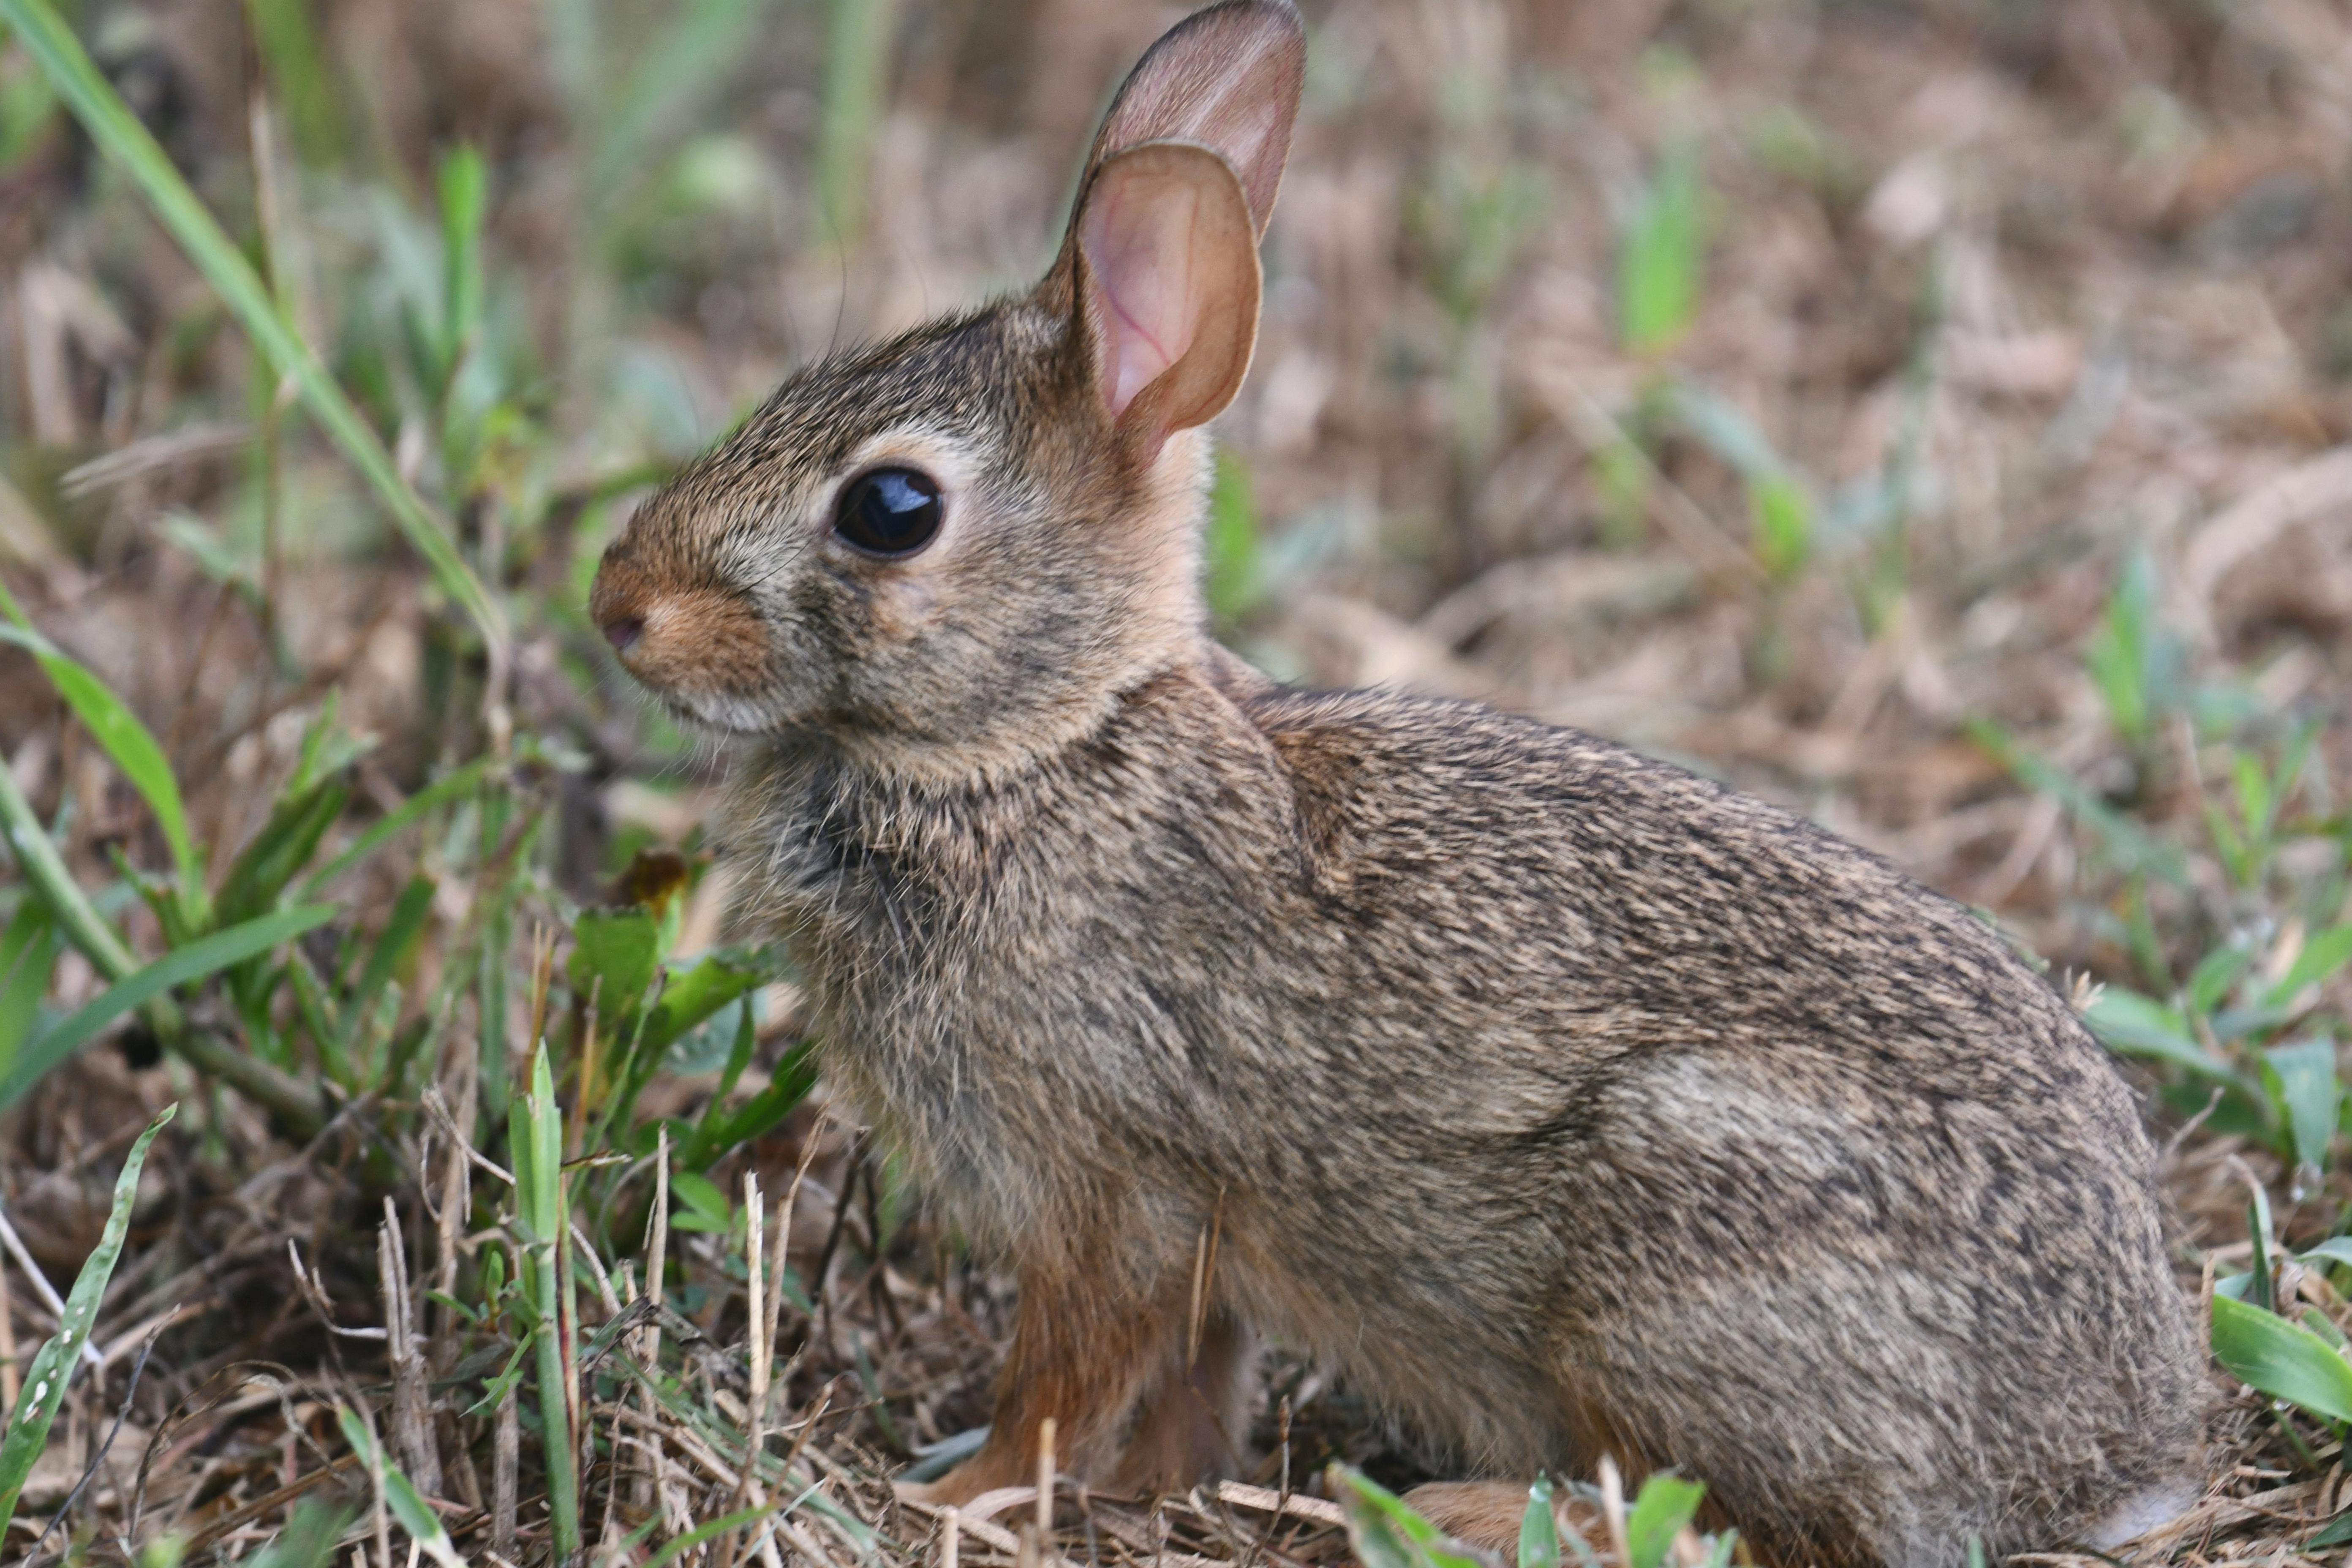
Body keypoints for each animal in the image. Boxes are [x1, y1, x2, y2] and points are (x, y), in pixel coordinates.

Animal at [588, 3, 2209, 1563]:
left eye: (888, 508)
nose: (617, 607)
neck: (1042, 747)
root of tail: (2096, 1458)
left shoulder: (1110, 1188)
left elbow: (1066, 1374)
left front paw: (959, 1493)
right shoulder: (1201, 1246)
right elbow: (1186, 1384)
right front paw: (1138, 1490)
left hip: (1686, 1254)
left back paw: (1478, 1515)